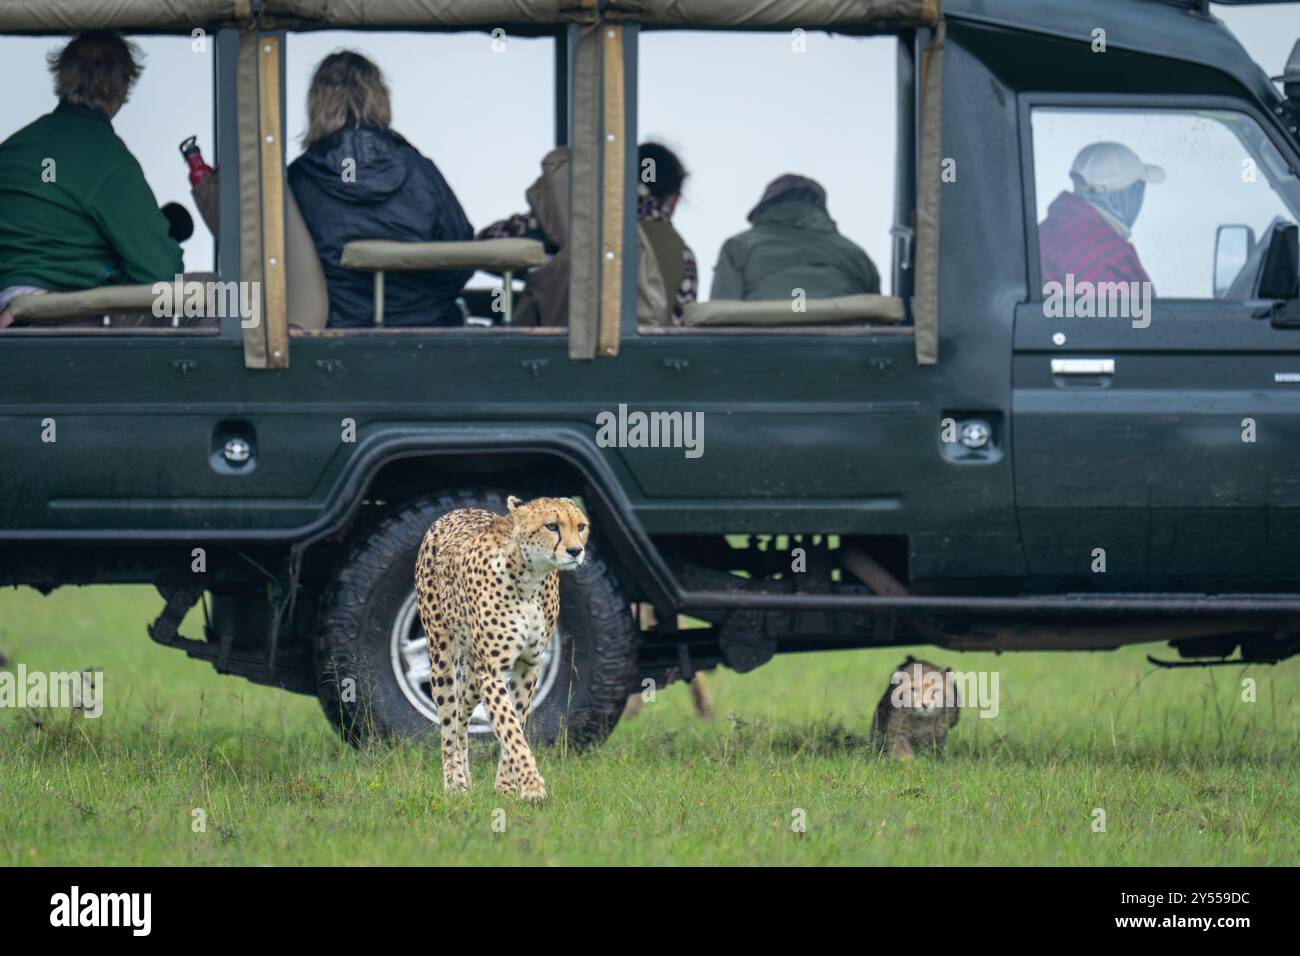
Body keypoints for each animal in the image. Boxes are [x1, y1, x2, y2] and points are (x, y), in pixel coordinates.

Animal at [415, 495, 589, 802]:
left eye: (581, 527)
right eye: (551, 526)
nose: (576, 551)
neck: (530, 579)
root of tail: (460, 509)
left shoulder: (527, 665)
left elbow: (515, 720)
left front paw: (506, 787)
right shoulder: (492, 669)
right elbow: (510, 728)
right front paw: (532, 787)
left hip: (473, 675)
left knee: (461, 715)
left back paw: (466, 777)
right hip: (442, 656)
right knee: (448, 720)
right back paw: (455, 783)